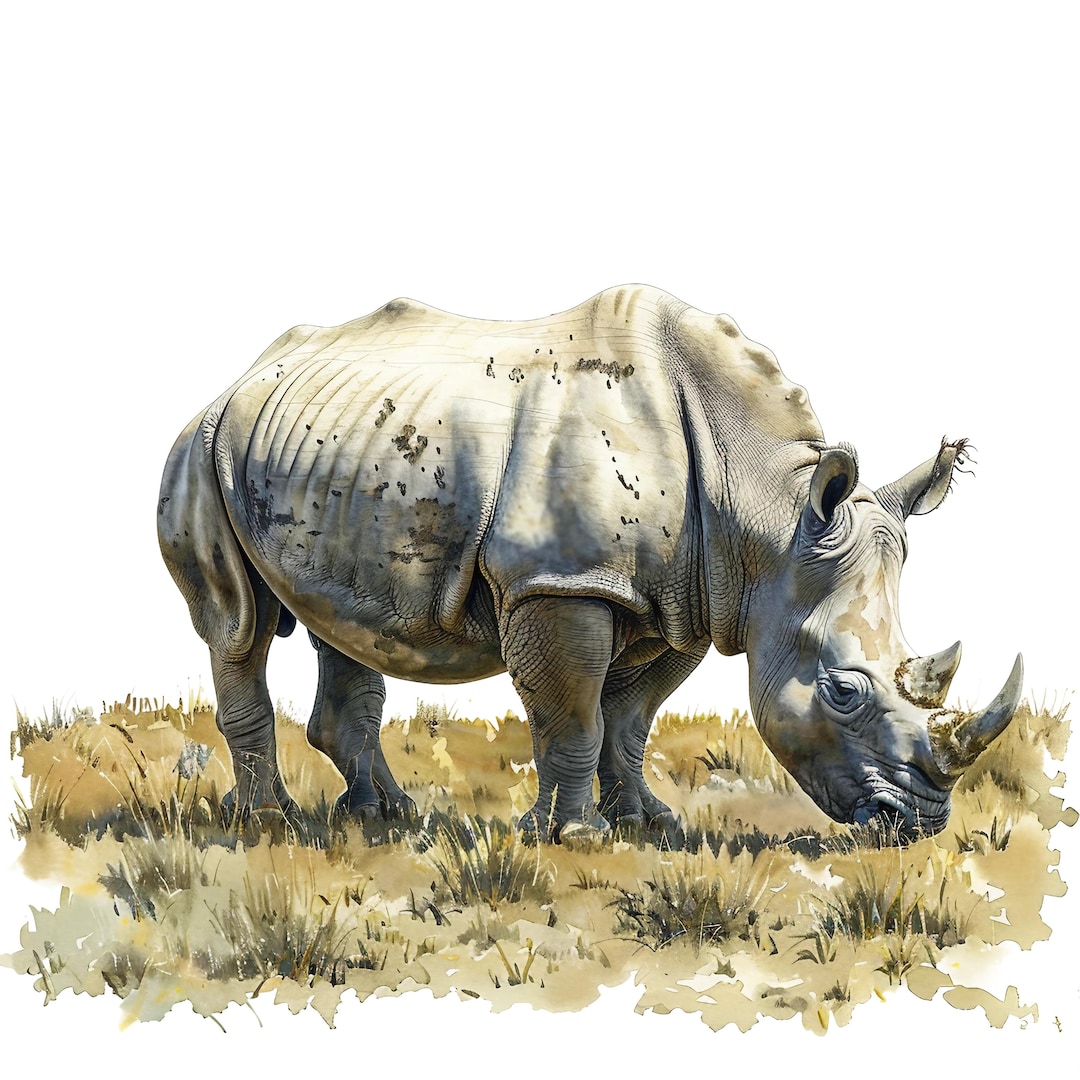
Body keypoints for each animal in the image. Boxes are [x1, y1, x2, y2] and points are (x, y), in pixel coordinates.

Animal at [158, 285, 1022, 842]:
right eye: (843, 693)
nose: (918, 825)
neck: (768, 516)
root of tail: (238, 378)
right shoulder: (562, 582)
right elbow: (573, 713)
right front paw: (573, 837)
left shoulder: (687, 599)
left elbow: (630, 718)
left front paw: (647, 823)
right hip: (201, 451)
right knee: (237, 627)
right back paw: (269, 823)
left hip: (328, 453)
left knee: (343, 620)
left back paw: (382, 818)